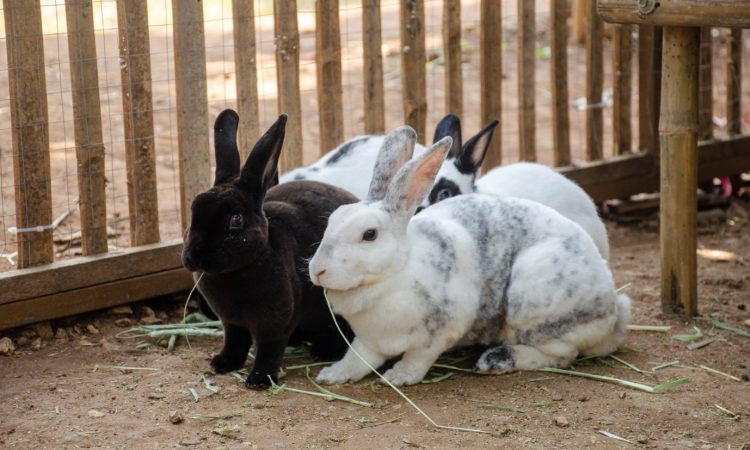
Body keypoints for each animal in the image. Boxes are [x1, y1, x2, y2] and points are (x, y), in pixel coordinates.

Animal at [181, 109, 357, 389]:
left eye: (236, 219)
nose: (193, 258)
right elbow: (235, 343)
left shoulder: (274, 325)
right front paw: (222, 364)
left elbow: (269, 349)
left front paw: (259, 380)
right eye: (193, 211)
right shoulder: (232, 323)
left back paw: (322, 351)